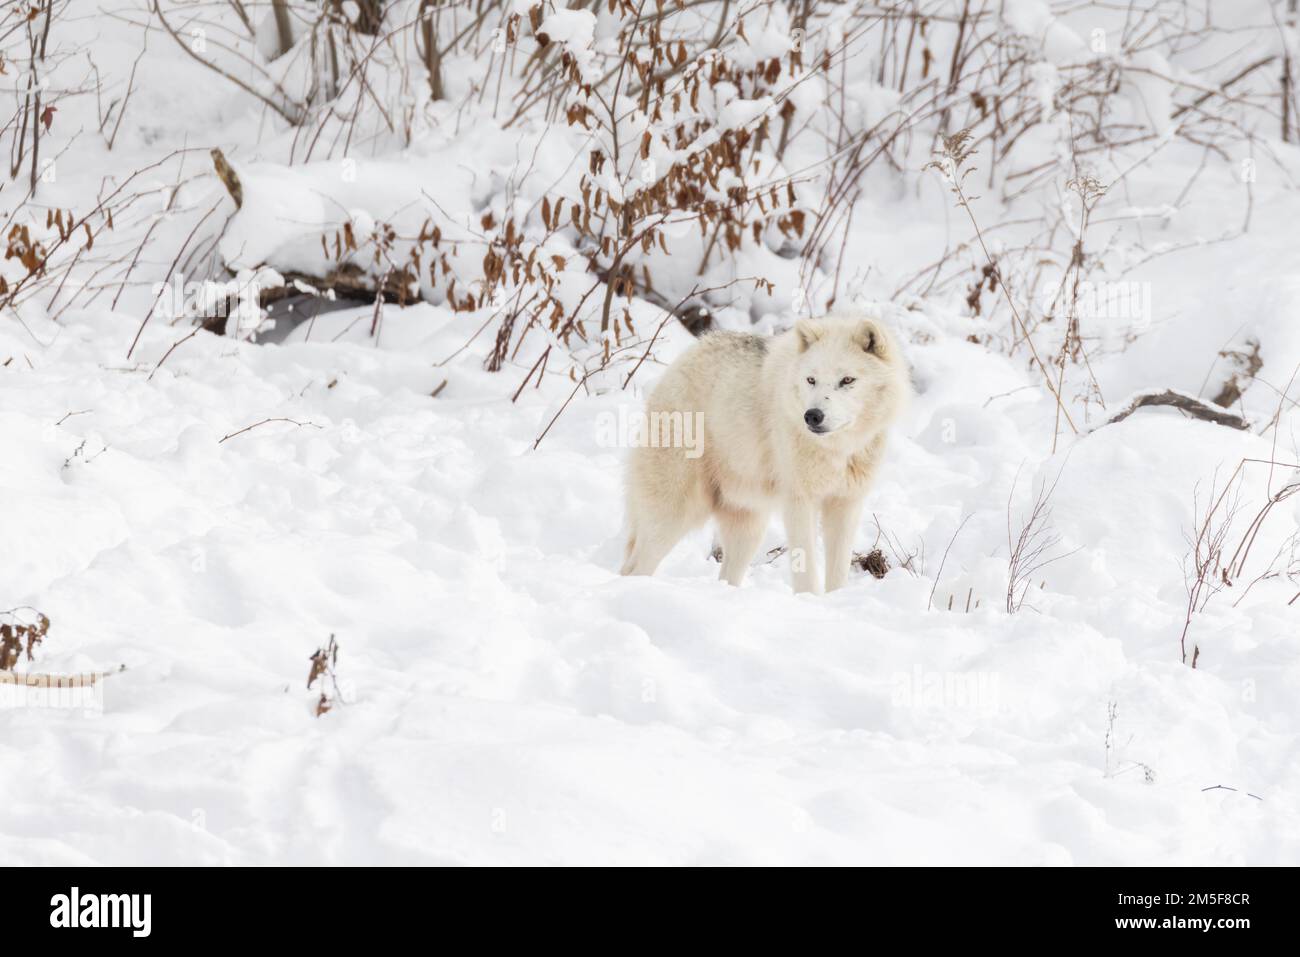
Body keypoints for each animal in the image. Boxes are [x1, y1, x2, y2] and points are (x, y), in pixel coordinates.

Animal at [620, 313, 910, 593]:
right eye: (811, 380)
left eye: (847, 380)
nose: (812, 416)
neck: (839, 450)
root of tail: (684, 357)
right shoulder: (799, 502)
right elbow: (805, 569)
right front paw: (810, 601)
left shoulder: (846, 503)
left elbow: (838, 571)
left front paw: (835, 600)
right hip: (674, 514)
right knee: (633, 567)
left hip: (748, 527)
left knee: (727, 573)